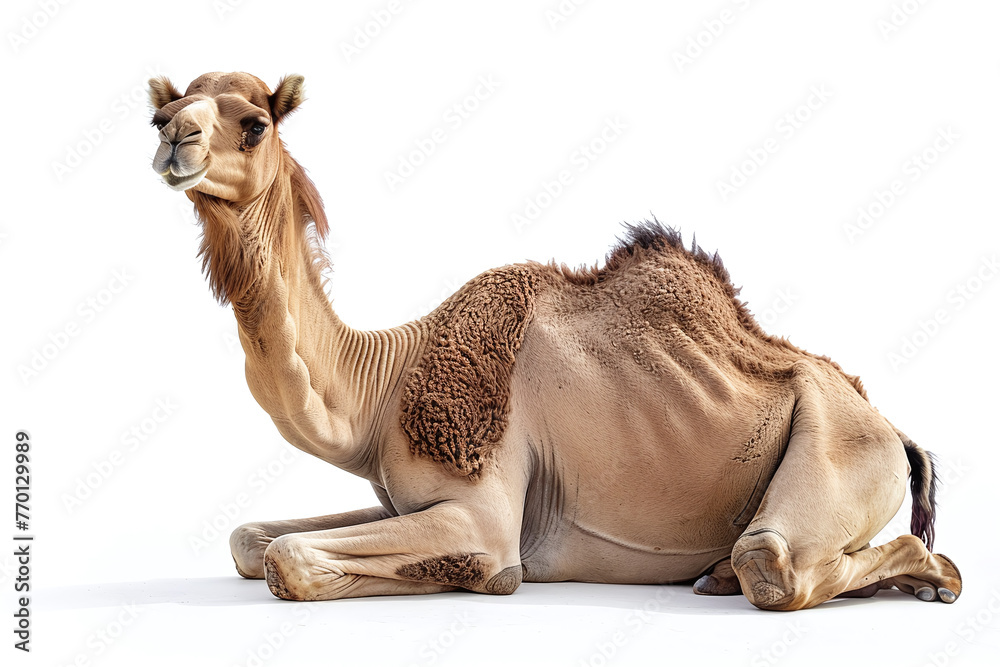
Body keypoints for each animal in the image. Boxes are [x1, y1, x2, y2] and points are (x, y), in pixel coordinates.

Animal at [148, 72, 961, 610]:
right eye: (166, 108)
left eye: (253, 123)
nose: (172, 135)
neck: (386, 383)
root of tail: (894, 429)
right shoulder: (398, 497)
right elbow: (251, 538)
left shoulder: (482, 508)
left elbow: (289, 557)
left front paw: (489, 576)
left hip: (842, 448)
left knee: (775, 556)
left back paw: (929, 575)